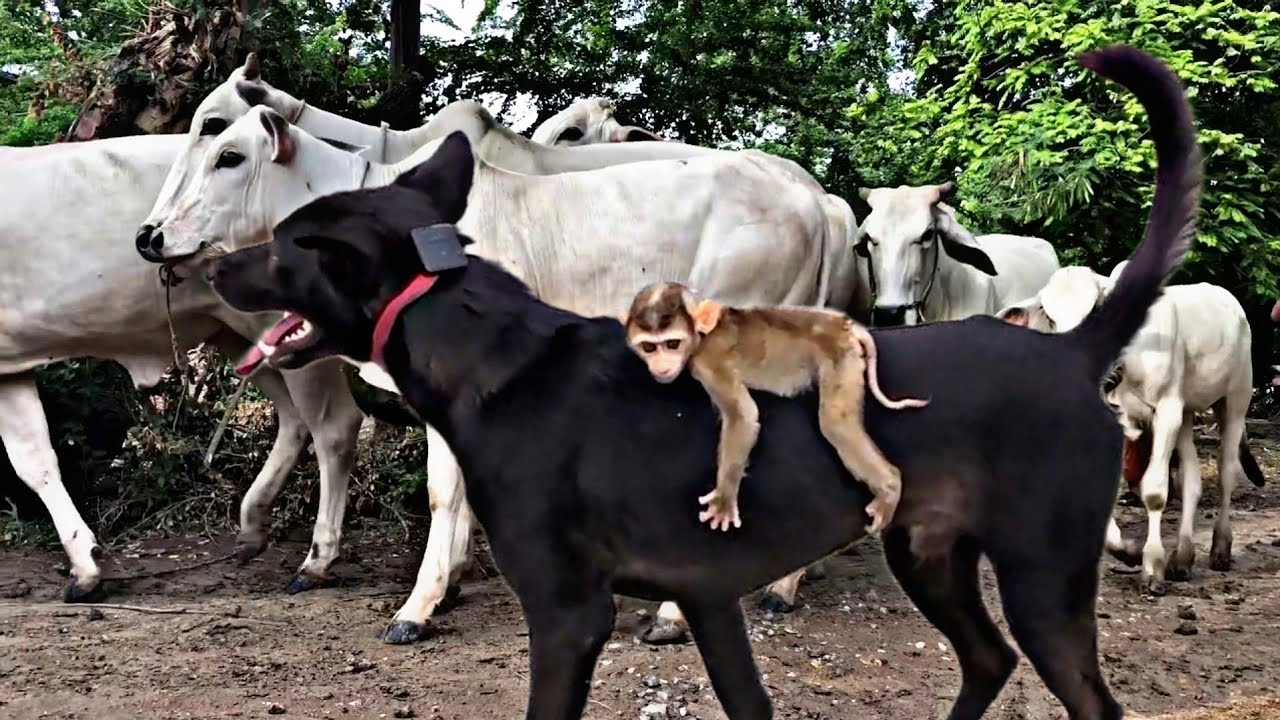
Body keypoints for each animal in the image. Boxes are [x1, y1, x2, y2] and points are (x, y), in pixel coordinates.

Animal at [135, 106, 836, 644]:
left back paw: (678, 612)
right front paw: (447, 587)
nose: (151, 235)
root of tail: (814, 199)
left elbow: (445, 494)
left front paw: (417, 607)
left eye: (229, 155)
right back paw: (778, 585)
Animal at [624, 281, 929, 533]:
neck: (703, 337)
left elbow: (743, 416)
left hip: (841, 357)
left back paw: (890, 487)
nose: (661, 366)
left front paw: (724, 498)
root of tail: (843, 325)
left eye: (672, 343)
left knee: (835, 422)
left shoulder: (710, 363)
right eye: (649, 348)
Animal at [1000, 264, 1264, 593]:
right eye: (1049, 316)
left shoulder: (1167, 410)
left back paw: (1220, 549)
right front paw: (1127, 552)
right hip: (1187, 415)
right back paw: (1182, 558)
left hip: (1235, 399)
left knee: (1226, 473)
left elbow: (1155, 492)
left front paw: (1152, 566)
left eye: (1096, 310)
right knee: (1191, 478)